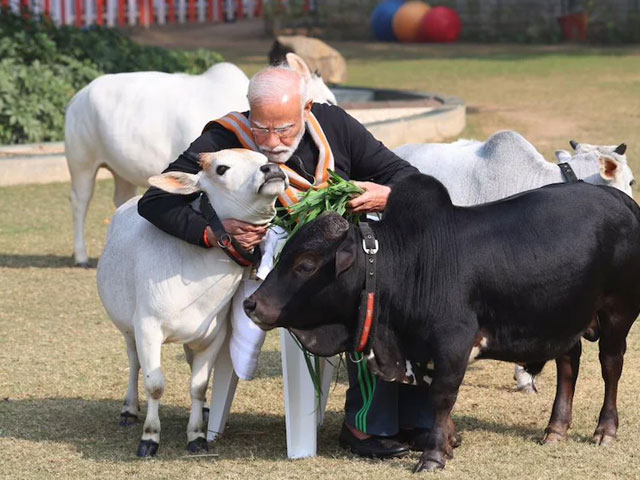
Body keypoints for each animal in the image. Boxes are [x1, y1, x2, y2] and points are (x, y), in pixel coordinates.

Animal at [66, 53, 334, 267]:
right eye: (330, 99)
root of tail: (79, 96)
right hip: (82, 162)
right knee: (80, 202)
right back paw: (81, 256)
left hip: (120, 172)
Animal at [96, 149, 287, 457]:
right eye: (222, 169)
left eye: (262, 158)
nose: (271, 169)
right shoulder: (147, 328)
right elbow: (155, 385)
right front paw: (149, 438)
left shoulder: (214, 334)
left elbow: (198, 385)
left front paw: (197, 435)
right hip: (127, 327)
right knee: (134, 362)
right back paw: (128, 409)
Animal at [244, 173, 640, 472]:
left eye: (306, 264)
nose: (252, 304)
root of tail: (619, 198)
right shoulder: (421, 350)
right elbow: (432, 394)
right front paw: (448, 441)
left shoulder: (453, 343)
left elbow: (442, 396)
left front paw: (433, 455)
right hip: (565, 317)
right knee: (568, 364)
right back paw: (555, 429)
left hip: (617, 314)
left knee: (610, 366)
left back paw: (605, 430)